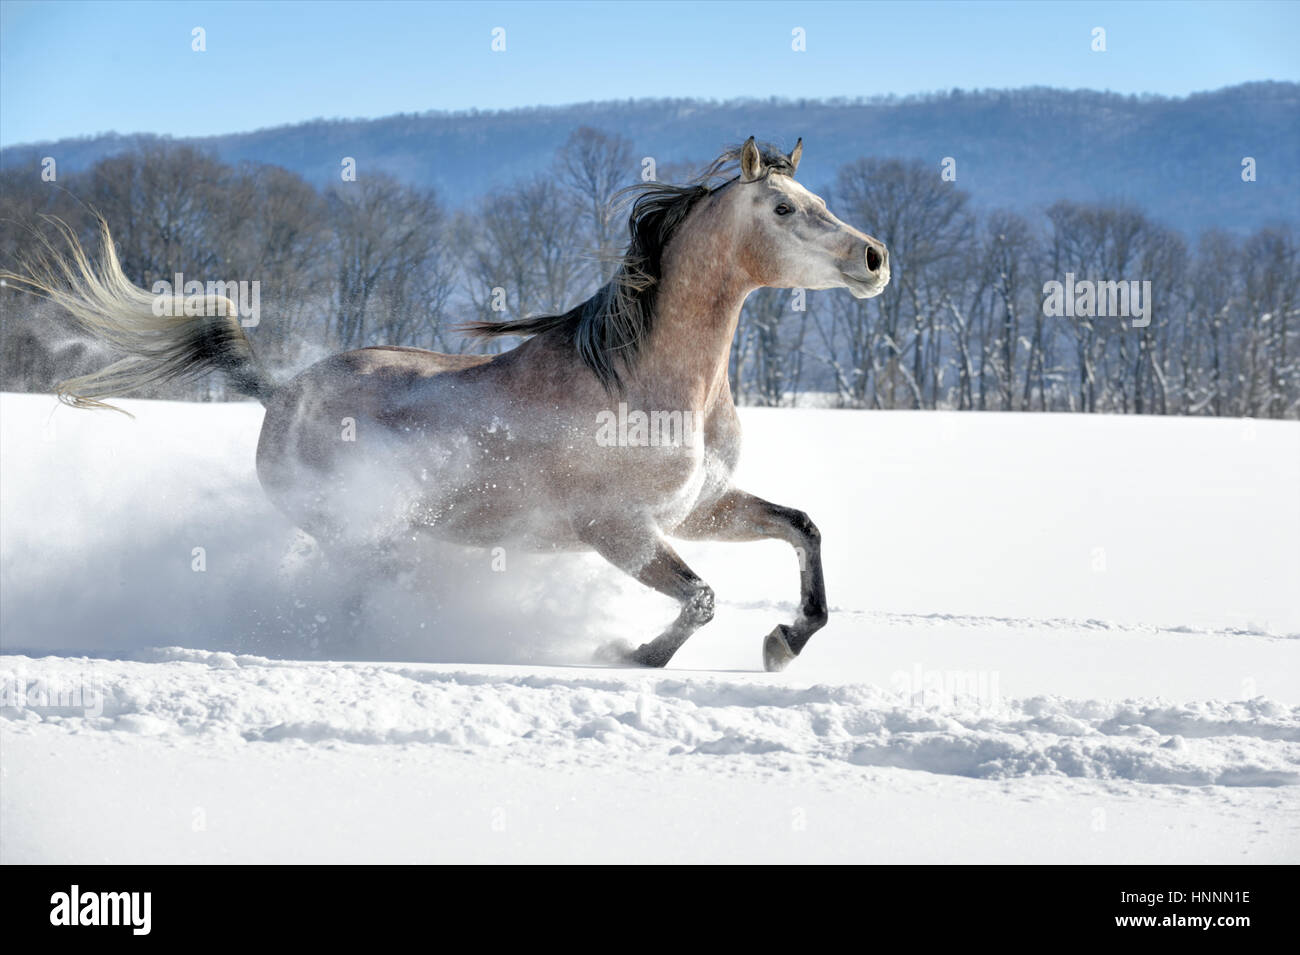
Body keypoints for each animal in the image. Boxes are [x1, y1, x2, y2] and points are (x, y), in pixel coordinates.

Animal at [4, 137, 889, 670]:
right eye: (784, 208)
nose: (875, 258)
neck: (646, 379)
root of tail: (281, 392)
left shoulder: (698, 508)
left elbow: (801, 527)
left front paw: (786, 640)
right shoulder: (615, 526)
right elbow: (700, 596)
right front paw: (637, 656)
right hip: (361, 533)